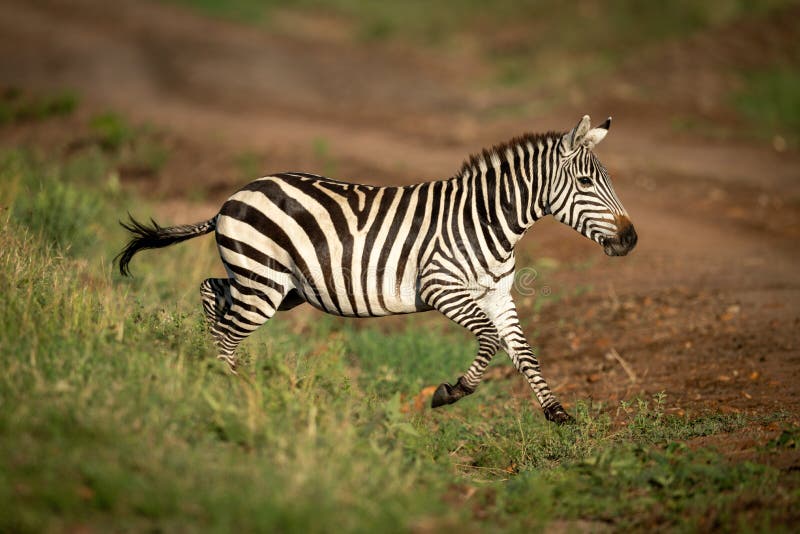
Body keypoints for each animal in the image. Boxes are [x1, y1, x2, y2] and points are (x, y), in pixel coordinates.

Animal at [116, 115, 637, 424]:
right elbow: (490, 341)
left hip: (277, 286)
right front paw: (450, 392)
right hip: (264, 283)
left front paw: (557, 413)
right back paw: (227, 388)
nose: (630, 239)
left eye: (607, 180)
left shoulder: (497, 294)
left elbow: (523, 353)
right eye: (586, 182)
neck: (488, 220)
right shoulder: (442, 287)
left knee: (211, 292)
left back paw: (208, 369)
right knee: (228, 328)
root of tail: (234, 195)